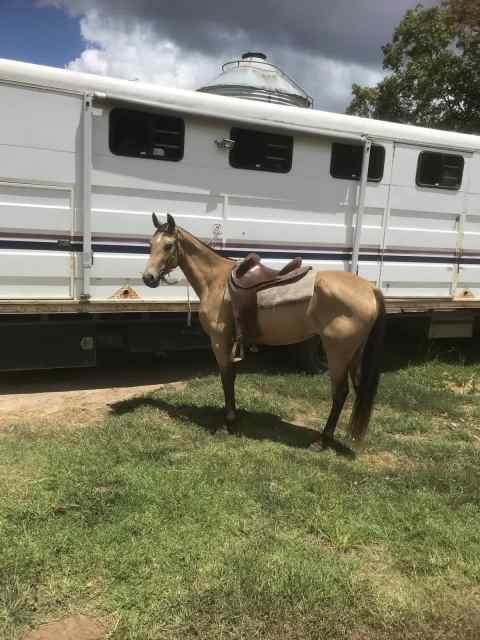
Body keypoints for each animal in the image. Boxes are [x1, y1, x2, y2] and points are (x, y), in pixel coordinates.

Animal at [142, 213, 385, 446]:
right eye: (150, 244)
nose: (148, 278)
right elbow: (231, 378)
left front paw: (228, 424)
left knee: (340, 392)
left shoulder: (219, 341)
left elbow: (226, 379)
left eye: (168, 246)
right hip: (354, 353)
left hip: (337, 353)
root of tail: (369, 289)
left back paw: (322, 440)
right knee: (357, 387)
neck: (216, 281)